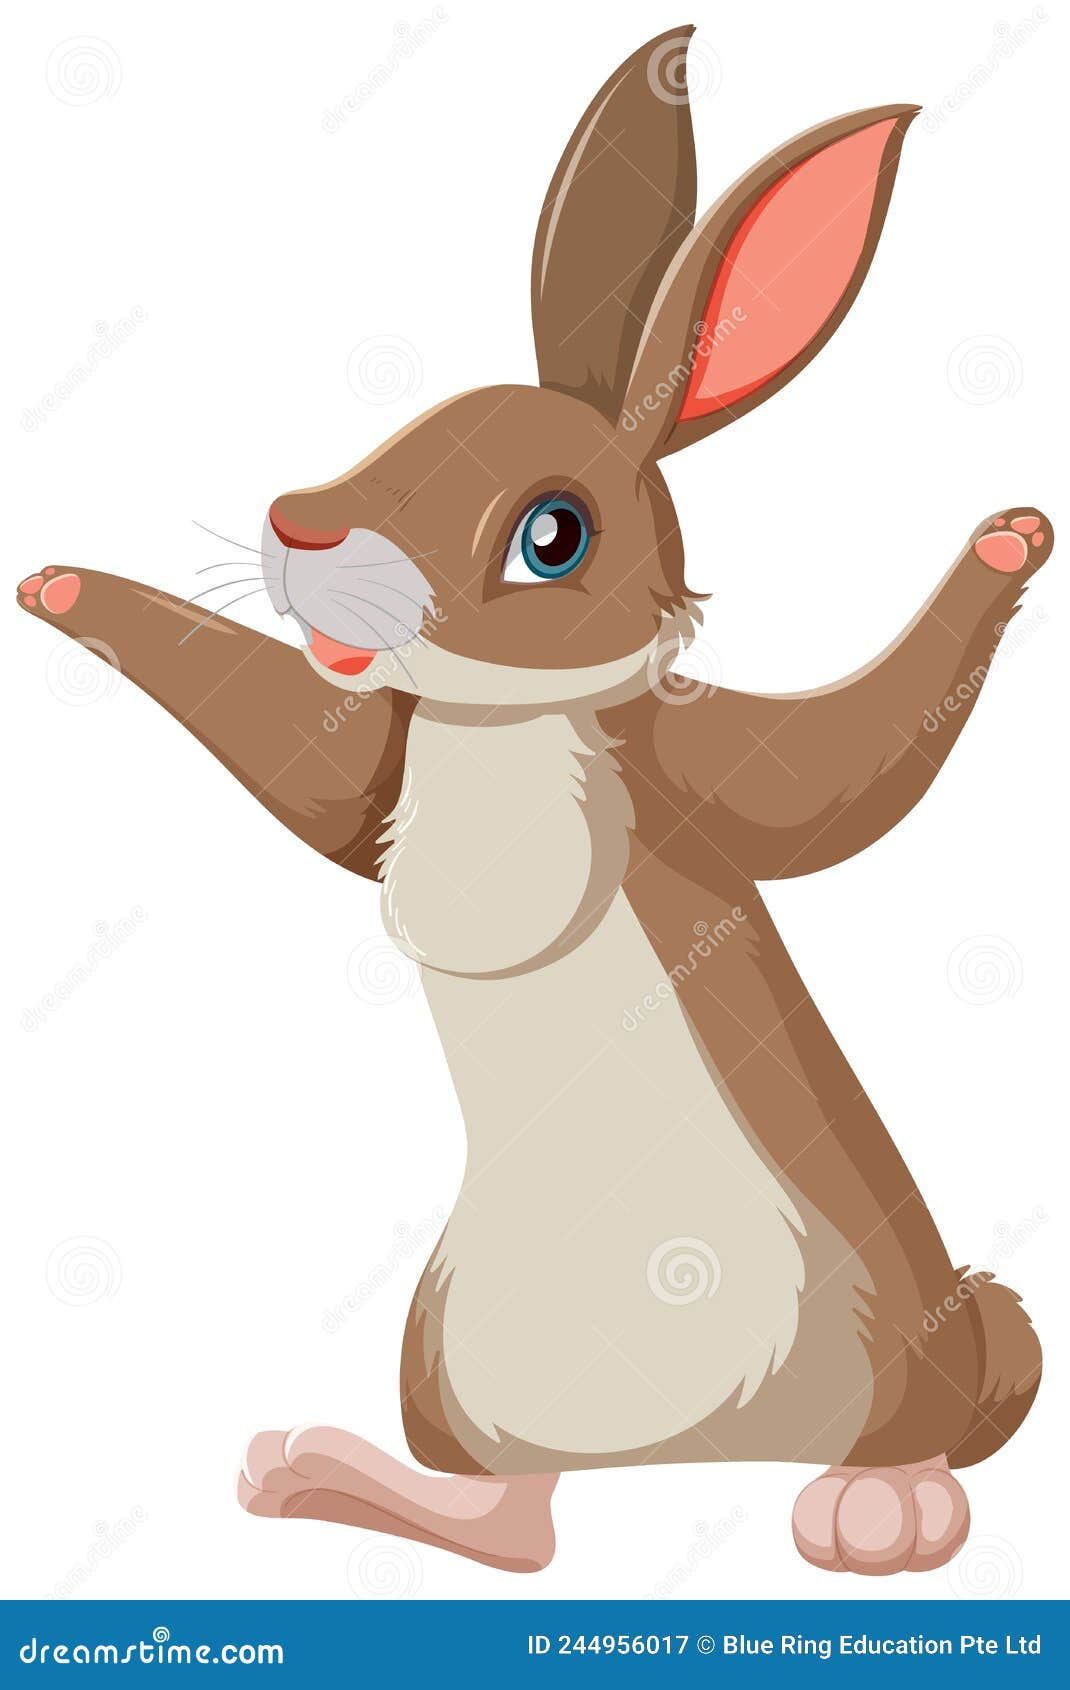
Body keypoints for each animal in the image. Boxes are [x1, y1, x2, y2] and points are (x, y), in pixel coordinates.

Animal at [18, 25, 1049, 1577]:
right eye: (414, 428)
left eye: (549, 535)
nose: (298, 524)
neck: (499, 727)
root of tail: (698, 1455)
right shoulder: (370, 774)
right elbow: (294, 752)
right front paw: (62, 589)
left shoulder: (694, 769)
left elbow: (843, 770)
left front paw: (1005, 545)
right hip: (446, 1352)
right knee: (516, 1531)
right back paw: (315, 1475)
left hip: (910, 1332)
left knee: (925, 1417)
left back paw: (883, 1509)